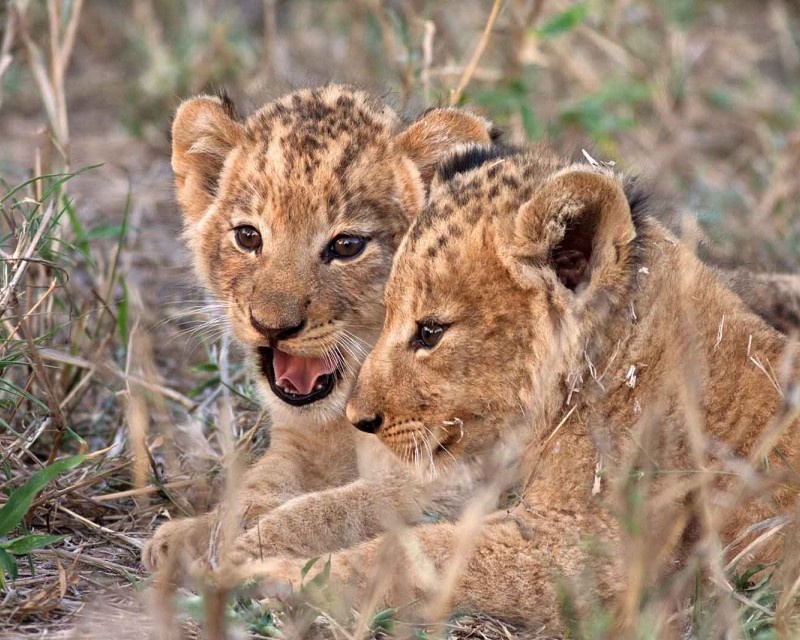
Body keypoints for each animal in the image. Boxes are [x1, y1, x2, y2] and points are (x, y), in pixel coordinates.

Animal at [144, 84, 800, 574]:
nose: (272, 326)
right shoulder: (305, 443)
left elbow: (345, 507)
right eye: (247, 237)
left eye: (346, 246)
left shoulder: (463, 475)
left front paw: (247, 545)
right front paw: (191, 536)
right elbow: (261, 485)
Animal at [237, 142, 800, 634]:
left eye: (430, 332)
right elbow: (367, 503)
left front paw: (276, 578)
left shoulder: (585, 552)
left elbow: (415, 557)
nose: (359, 420)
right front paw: (254, 540)